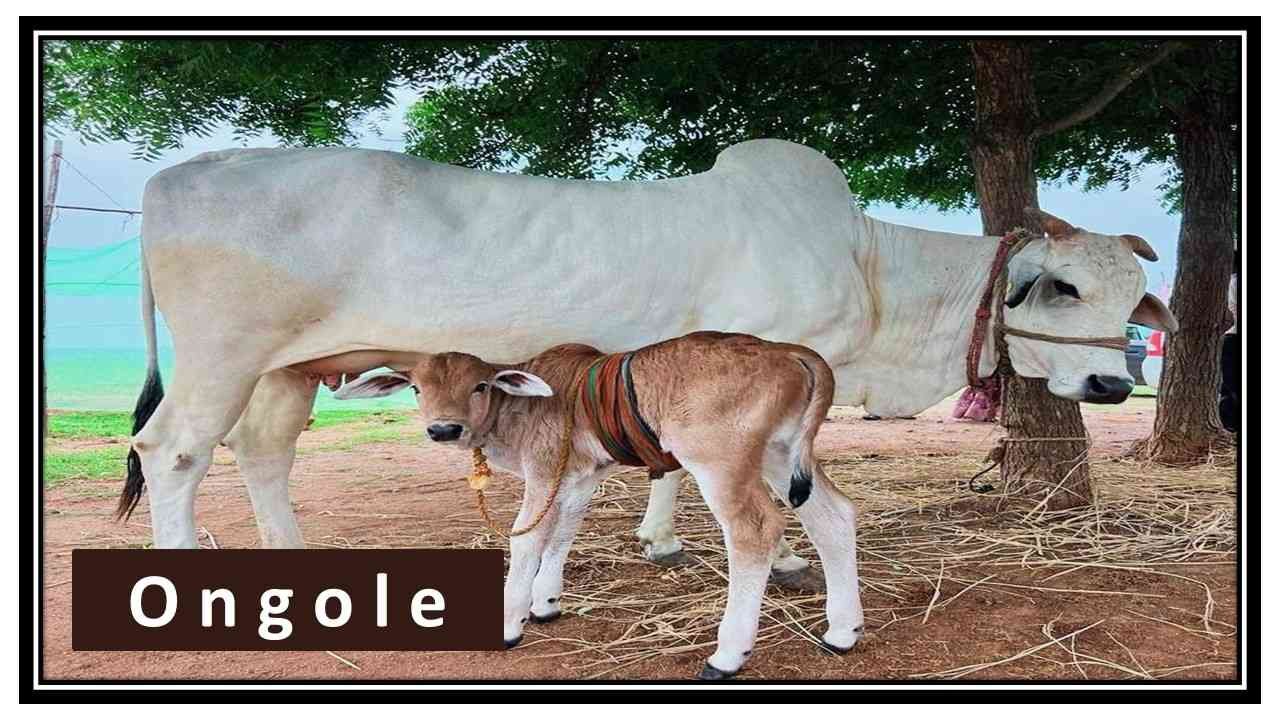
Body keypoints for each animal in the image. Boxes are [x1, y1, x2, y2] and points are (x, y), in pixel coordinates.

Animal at [120, 139, 1176, 561]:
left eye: (1134, 297)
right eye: (1064, 286)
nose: (1110, 381)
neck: (871, 266)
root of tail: (172, 178)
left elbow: (666, 462)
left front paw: (659, 538)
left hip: (286, 371)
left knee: (261, 451)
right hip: (223, 356)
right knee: (173, 452)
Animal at [331, 332, 860, 680]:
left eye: (480, 386)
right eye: (416, 388)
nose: (443, 429)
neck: (522, 405)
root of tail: (789, 351)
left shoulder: (544, 471)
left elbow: (527, 538)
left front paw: (509, 623)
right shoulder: (577, 478)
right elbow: (561, 534)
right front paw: (545, 603)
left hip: (721, 463)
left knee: (755, 530)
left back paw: (727, 654)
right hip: (781, 455)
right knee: (833, 515)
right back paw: (842, 631)